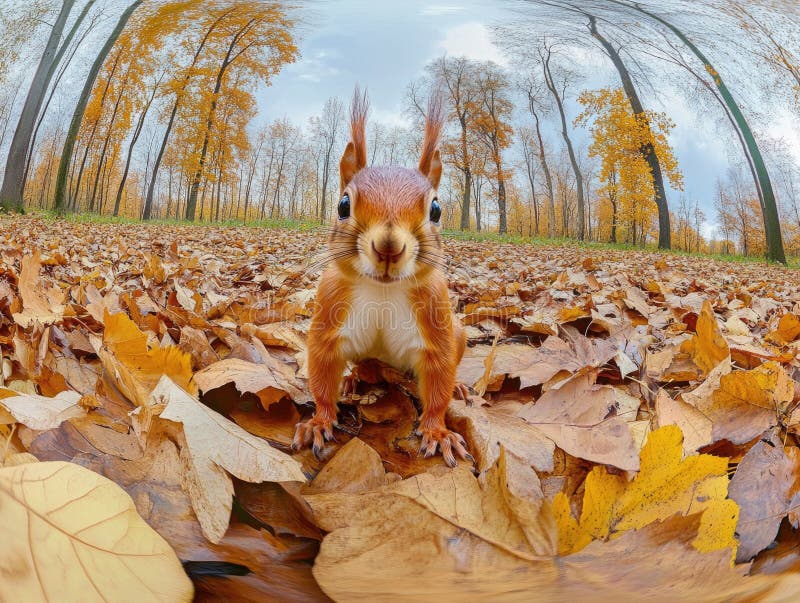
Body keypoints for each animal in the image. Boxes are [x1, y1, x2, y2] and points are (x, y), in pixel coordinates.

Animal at [292, 88, 472, 467]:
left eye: (436, 209)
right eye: (343, 205)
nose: (389, 247)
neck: (383, 291)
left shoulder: (436, 322)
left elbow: (438, 383)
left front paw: (438, 431)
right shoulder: (328, 313)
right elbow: (322, 375)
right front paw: (319, 421)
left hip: (458, 332)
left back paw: (460, 387)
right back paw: (352, 381)